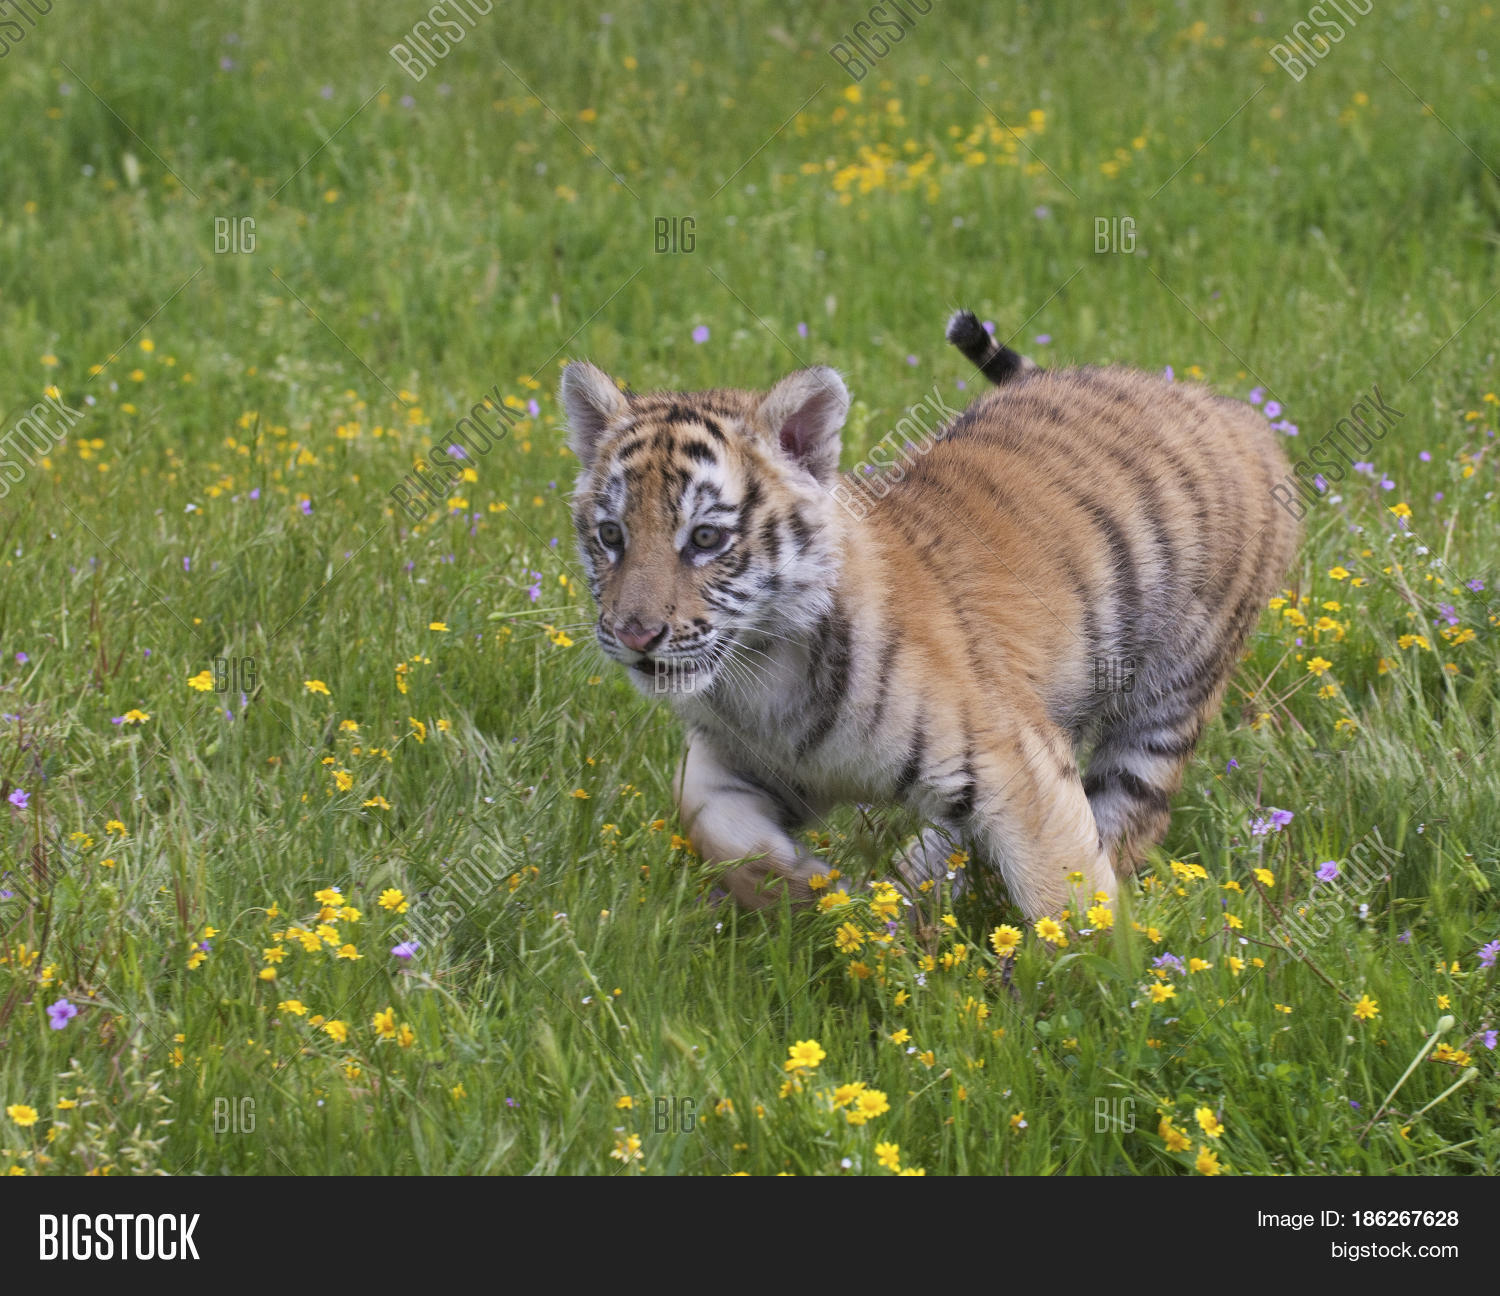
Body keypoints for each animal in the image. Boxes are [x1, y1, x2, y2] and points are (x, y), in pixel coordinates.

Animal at [562, 309, 1301, 919]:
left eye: (707, 539)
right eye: (611, 536)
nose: (634, 634)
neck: (764, 670)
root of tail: (1226, 405)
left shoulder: (1013, 757)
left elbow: (1068, 898)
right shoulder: (743, 760)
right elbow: (706, 817)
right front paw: (809, 892)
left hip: (1168, 702)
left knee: (1124, 820)